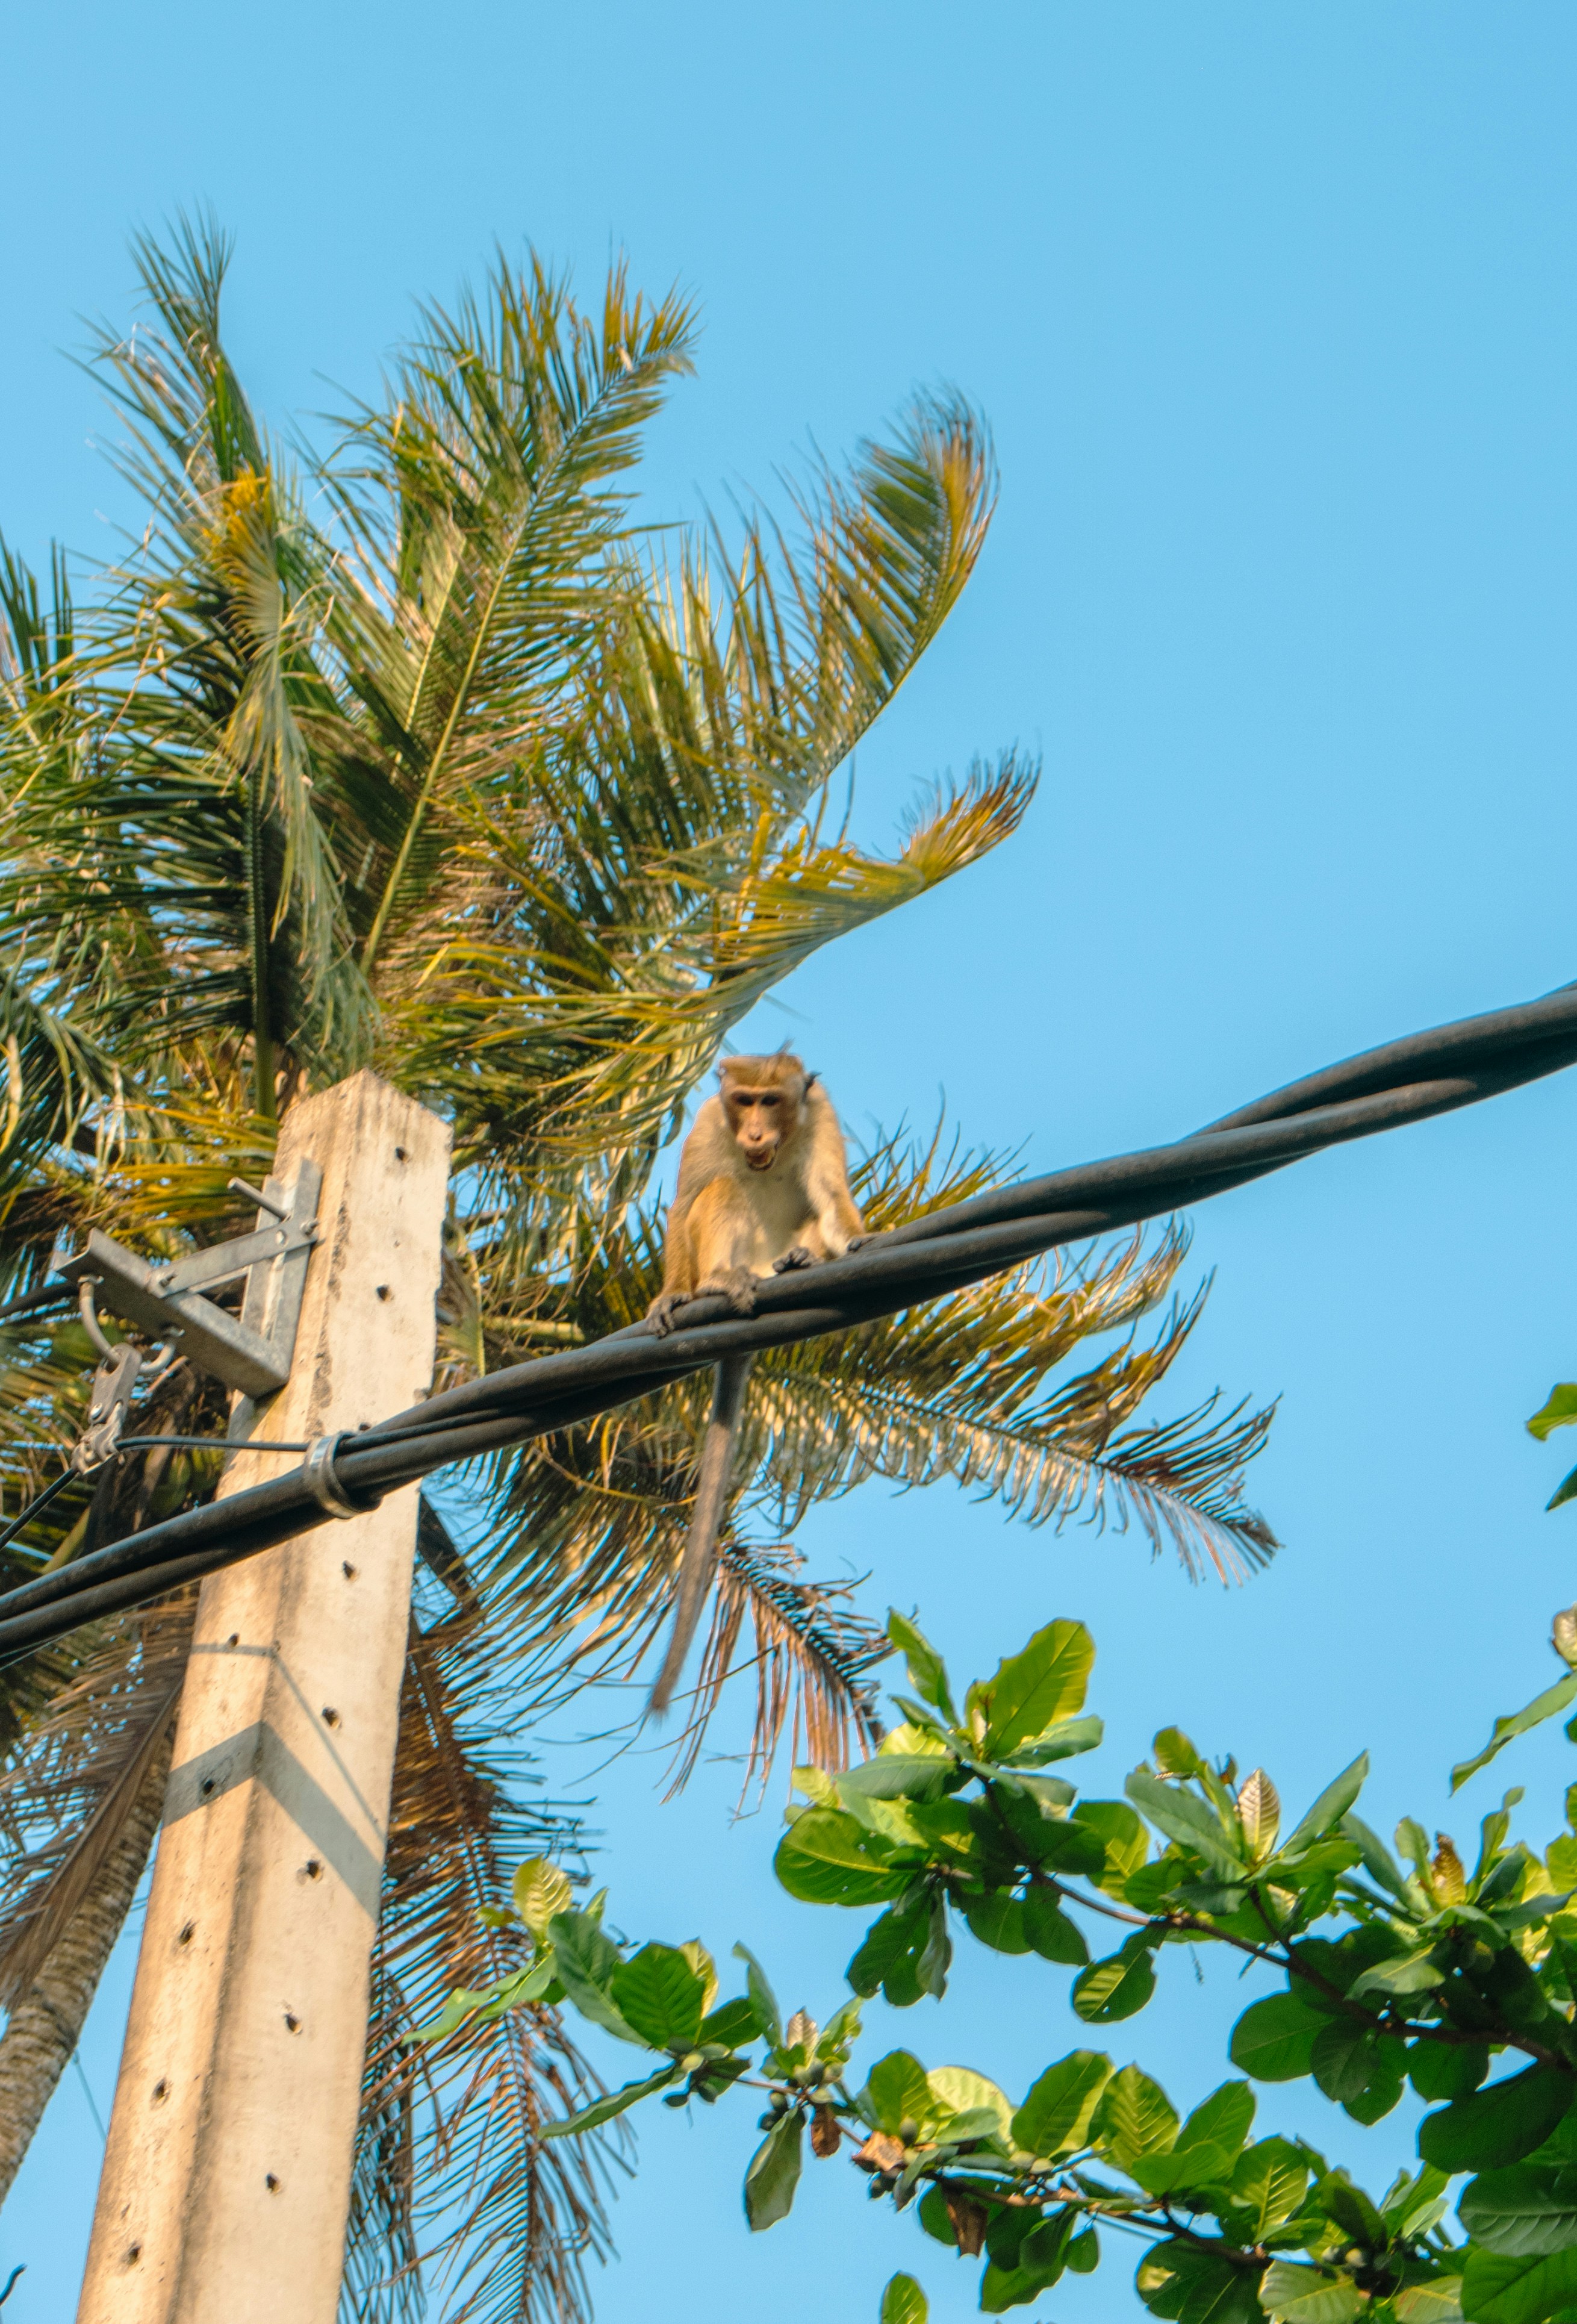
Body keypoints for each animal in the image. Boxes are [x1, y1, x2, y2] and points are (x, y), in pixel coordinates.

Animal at [644, 1052, 865, 1713]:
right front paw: (671, 1296)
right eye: (744, 1101)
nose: (757, 1132)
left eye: (773, 1101)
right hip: (733, 1255)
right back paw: (719, 1281)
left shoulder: (821, 1118)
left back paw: (804, 1262)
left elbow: (831, 1195)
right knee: (721, 1190)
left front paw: (854, 1238)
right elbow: (687, 1199)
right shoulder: (707, 1126)